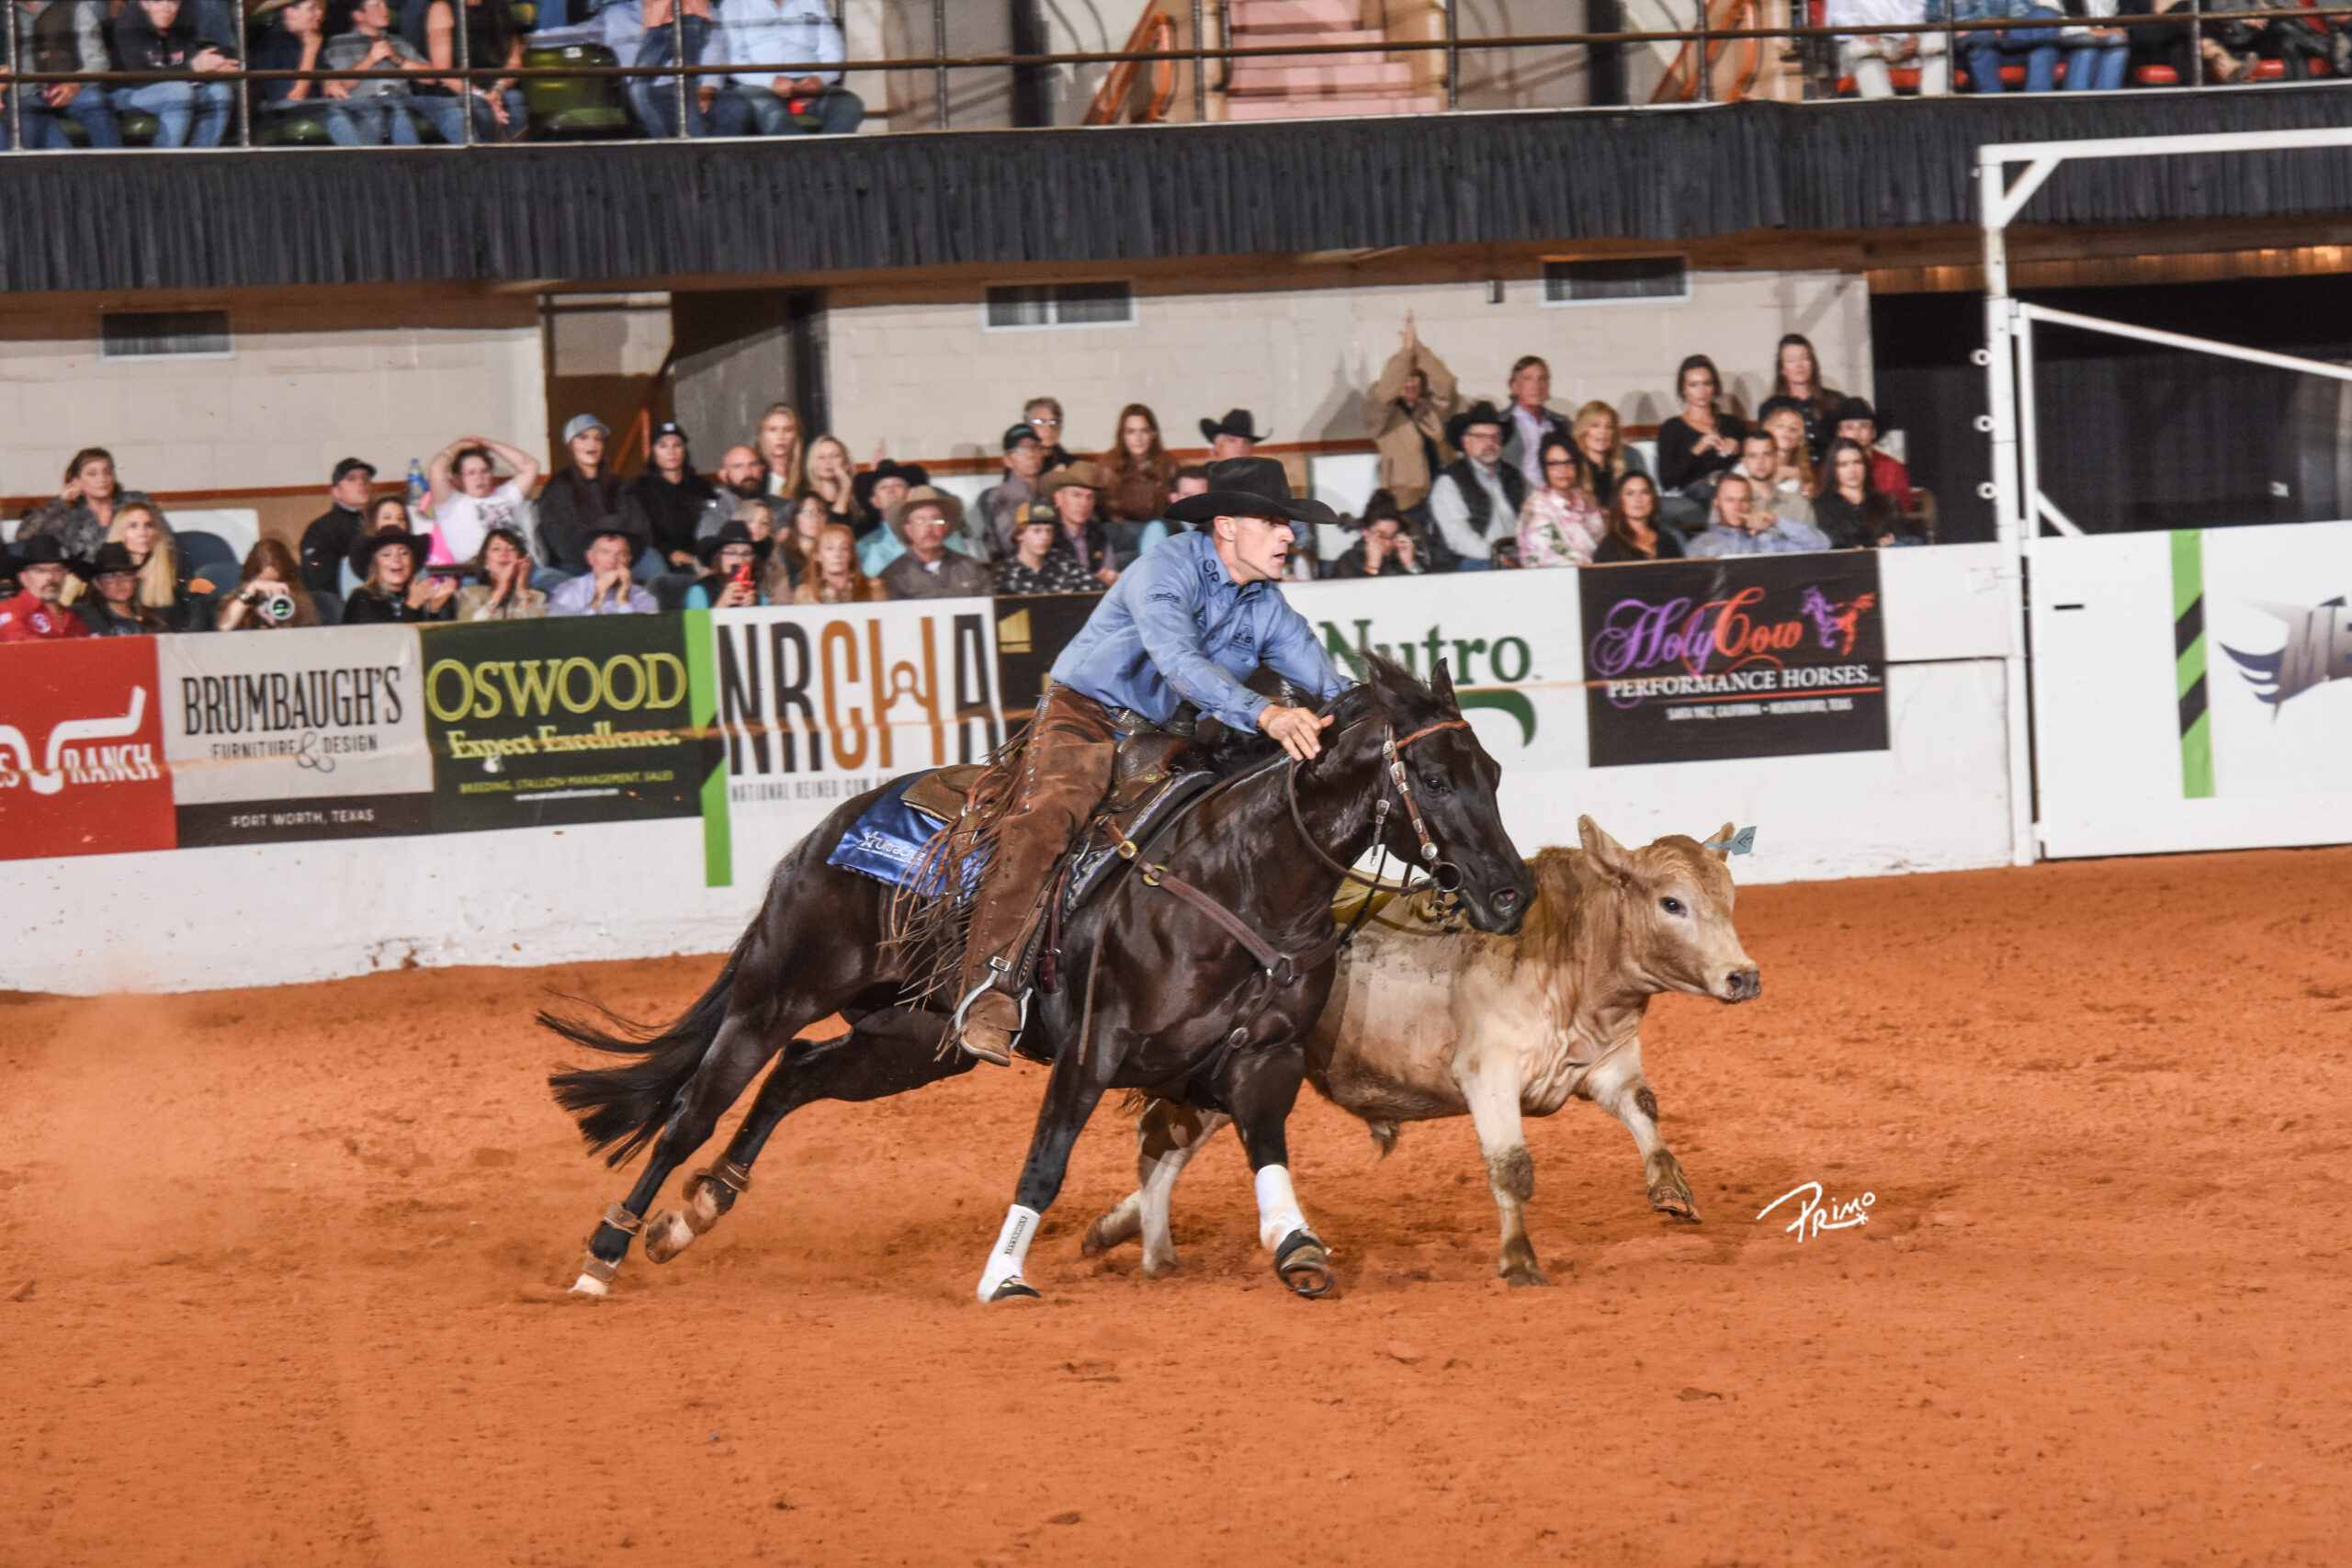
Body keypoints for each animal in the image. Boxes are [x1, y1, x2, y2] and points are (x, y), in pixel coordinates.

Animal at [545, 656, 1534, 1303]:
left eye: (1492, 769)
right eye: (1434, 777)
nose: (1511, 891)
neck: (1240, 879)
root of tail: (829, 829)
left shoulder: (1265, 1057)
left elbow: (1266, 1149)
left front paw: (1295, 1245)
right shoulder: (1091, 1052)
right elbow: (1046, 1163)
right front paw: (1004, 1273)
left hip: (914, 1041)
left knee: (797, 1076)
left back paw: (697, 1213)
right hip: (776, 990)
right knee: (693, 1108)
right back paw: (605, 1251)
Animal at [1081, 817, 1762, 1286]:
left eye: (1729, 900)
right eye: (1671, 903)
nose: (1744, 976)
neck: (1569, 954)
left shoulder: (1609, 1061)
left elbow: (1643, 1109)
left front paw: (1670, 1188)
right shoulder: (1489, 1072)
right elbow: (1511, 1167)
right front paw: (1519, 1261)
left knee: (1164, 1140)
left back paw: (1129, 1235)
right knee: (1163, 1139)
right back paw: (1152, 1249)